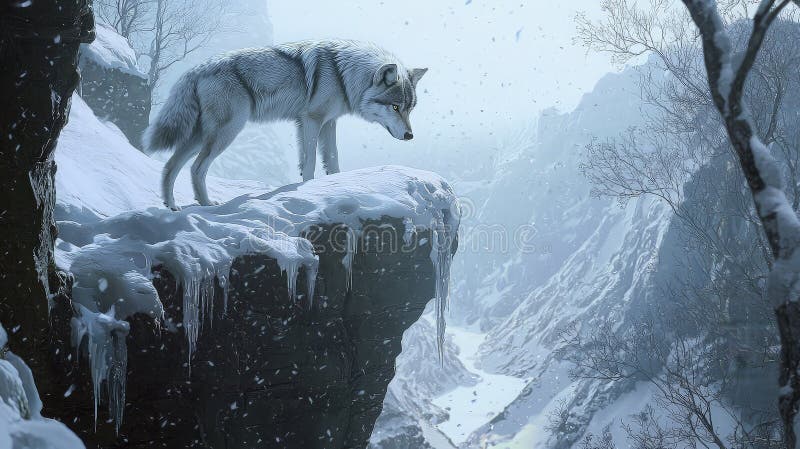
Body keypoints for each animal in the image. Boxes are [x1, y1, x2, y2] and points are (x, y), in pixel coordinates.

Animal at [143, 39, 428, 210]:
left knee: (170, 166)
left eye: (410, 108)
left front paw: (337, 185)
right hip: (226, 132)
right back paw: (207, 204)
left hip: (201, 136)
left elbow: (332, 160)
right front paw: (309, 191)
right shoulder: (311, 120)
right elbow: (310, 163)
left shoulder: (327, 123)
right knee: (196, 168)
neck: (342, 74)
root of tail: (196, 69)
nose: (410, 135)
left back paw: (171, 206)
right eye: (395, 107)